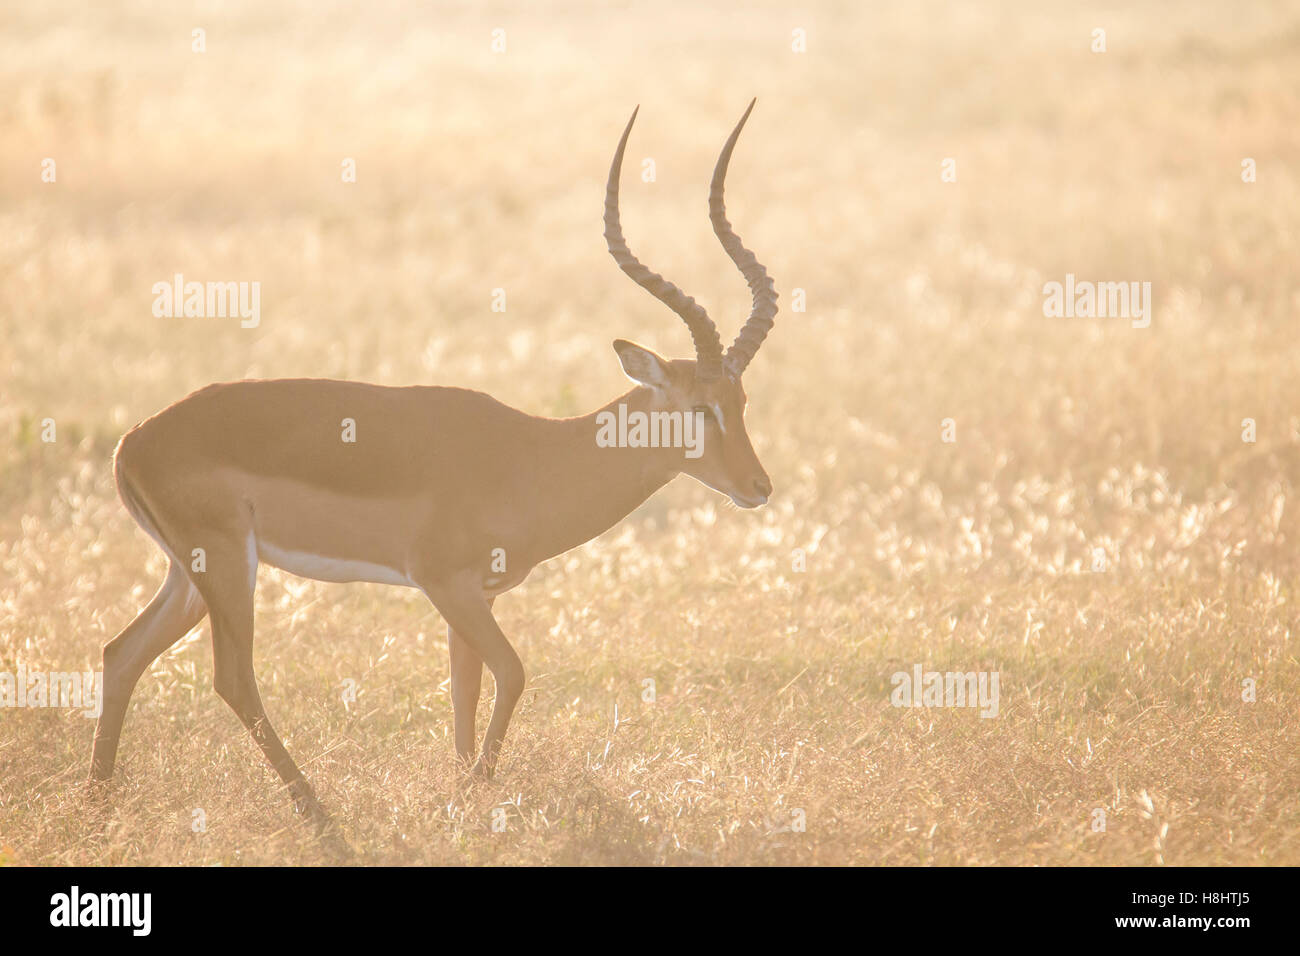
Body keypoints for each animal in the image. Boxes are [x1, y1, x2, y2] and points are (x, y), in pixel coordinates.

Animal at [90, 101, 778, 829]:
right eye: (701, 408)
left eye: (742, 401)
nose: (758, 487)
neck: (535, 455)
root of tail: (133, 439)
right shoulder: (445, 584)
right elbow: (513, 673)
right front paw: (477, 792)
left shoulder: (474, 597)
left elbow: (464, 692)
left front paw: (461, 793)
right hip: (225, 563)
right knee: (232, 677)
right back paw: (319, 814)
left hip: (191, 574)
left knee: (121, 654)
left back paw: (98, 805)